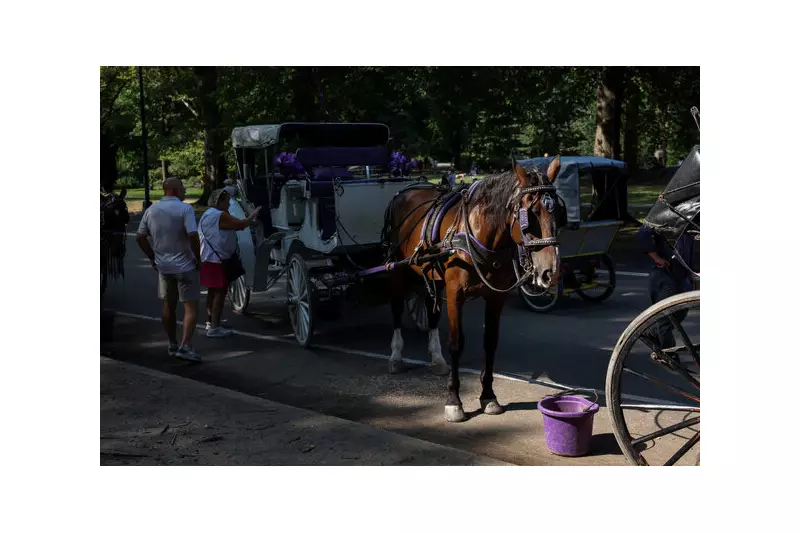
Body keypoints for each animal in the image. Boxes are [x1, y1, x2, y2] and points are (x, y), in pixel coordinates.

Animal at [384, 157, 562, 423]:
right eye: (529, 216)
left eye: (558, 212)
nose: (551, 272)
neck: (479, 235)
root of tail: (406, 190)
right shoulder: (455, 293)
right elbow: (456, 343)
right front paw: (454, 401)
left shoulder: (496, 296)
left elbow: (490, 343)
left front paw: (488, 396)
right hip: (397, 269)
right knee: (396, 308)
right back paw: (396, 356)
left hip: (432, 275)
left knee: (431, 312)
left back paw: (436, 359)